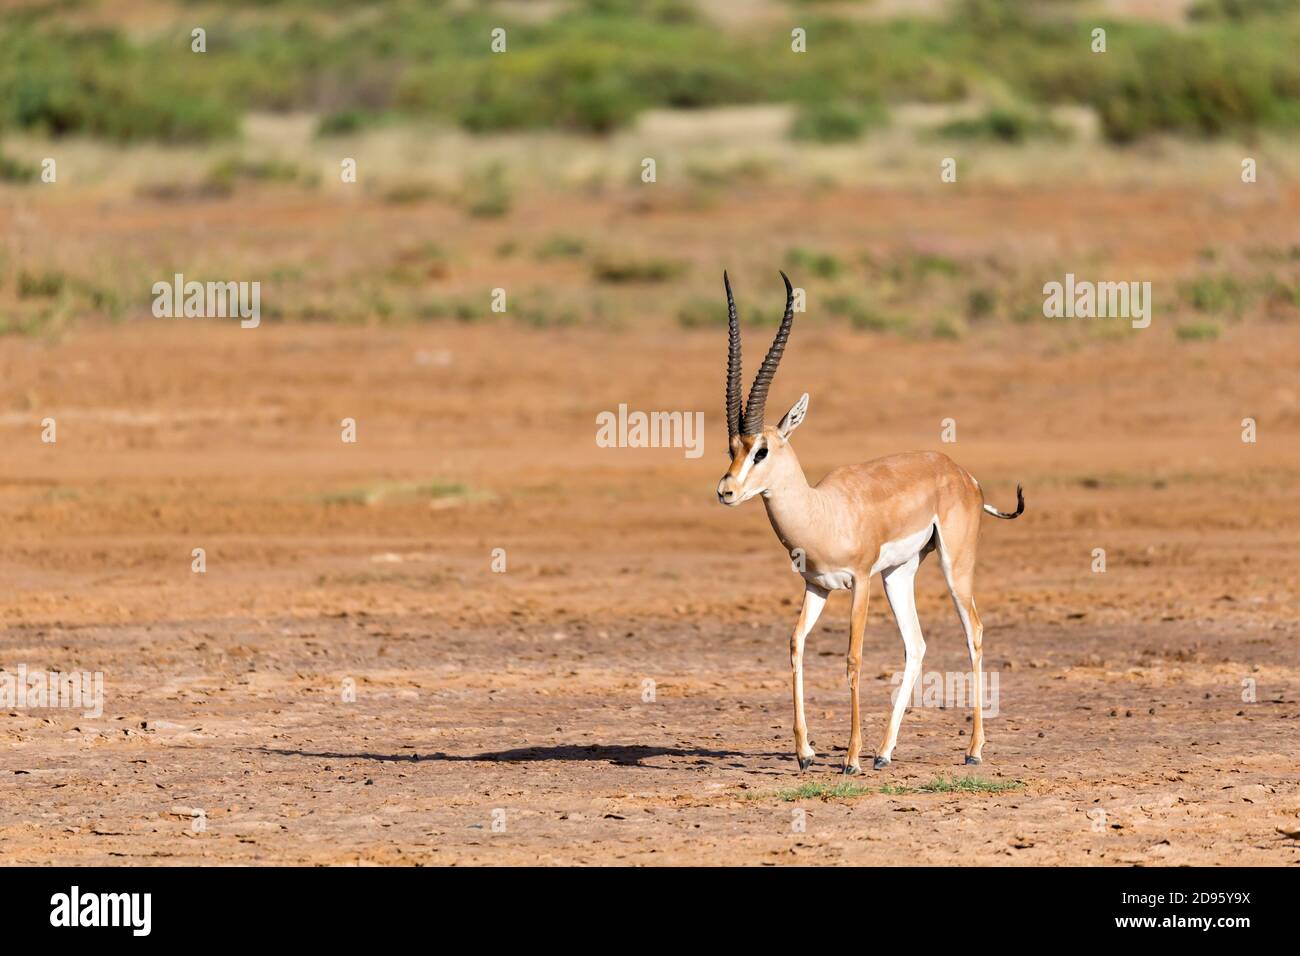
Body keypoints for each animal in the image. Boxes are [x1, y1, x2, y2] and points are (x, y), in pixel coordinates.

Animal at [716, 272, 1023, 774]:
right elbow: (795, 644)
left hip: (953, 568)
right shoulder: (817, 586)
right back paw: (884, 752)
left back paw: (972, 750)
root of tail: (962, 473)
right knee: (916, 644)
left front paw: (849, 758)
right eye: (732, 449)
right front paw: (805, 753)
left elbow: (853, 658)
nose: (724, 491)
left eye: (761, 450)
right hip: (899, 573)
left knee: (973, 631)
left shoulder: (858, 582)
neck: (822, 511)